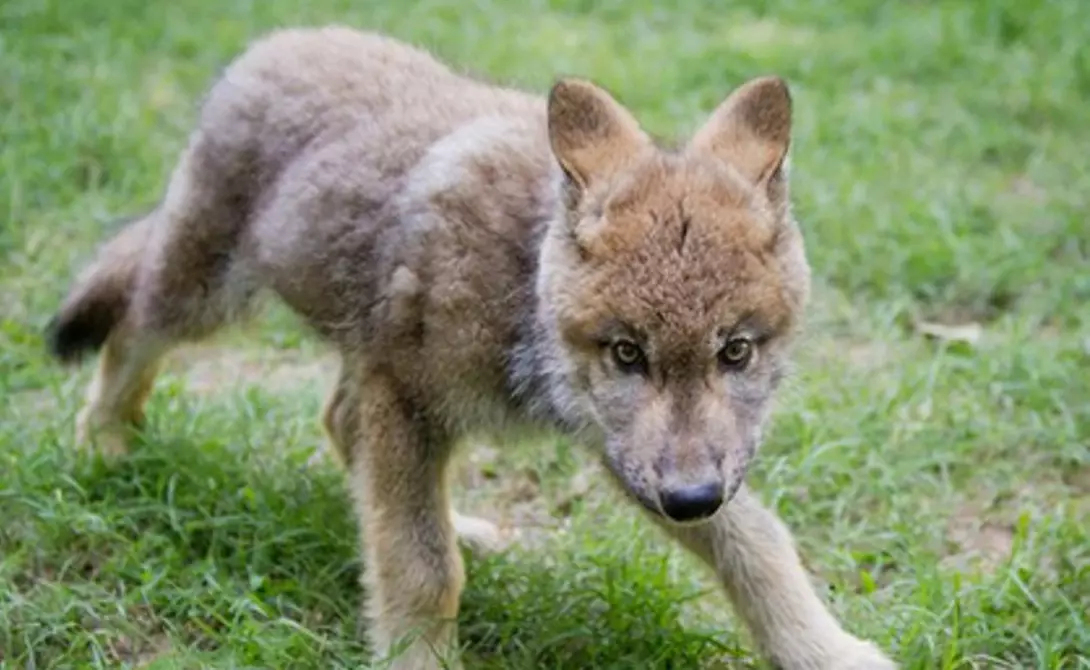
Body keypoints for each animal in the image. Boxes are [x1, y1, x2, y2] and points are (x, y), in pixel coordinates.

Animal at [44, 26, 893, 670]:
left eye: (735, 352)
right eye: (627, 353)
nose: (689, 499)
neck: (520, 290)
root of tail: (274, 42)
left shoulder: (636, 455)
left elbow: (759, 547)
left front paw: (828, 652)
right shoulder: (406, 400)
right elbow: (421, 567)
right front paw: (418, 658)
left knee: (336, 423)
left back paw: (468, 527)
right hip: (203, 300)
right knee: (129, 335)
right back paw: (105, 449)